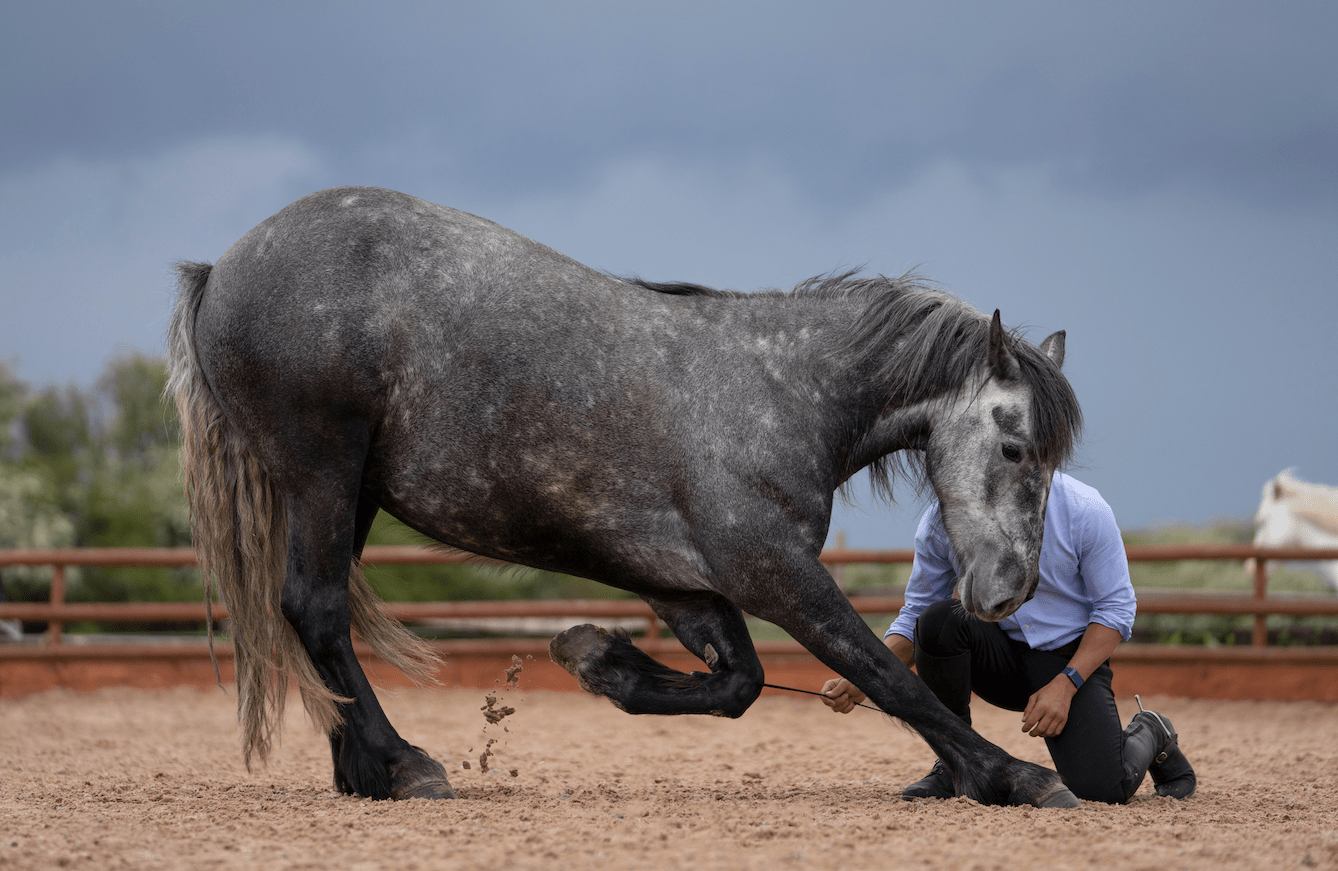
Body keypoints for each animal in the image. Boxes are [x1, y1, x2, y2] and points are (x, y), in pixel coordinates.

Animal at [167, 186, 1083, 807]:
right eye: (1015, 447)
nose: (1011, 593)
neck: (782, 391)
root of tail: (225, 268)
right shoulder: (777, 574)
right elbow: (884, 675)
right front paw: (1014, 774)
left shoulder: (684, 585)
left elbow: (740, 684)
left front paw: (595, 655)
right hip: (321, 468)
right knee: (316, 608)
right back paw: (403, 764)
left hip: (346, 489)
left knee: (308, 616)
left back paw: (363, 768)